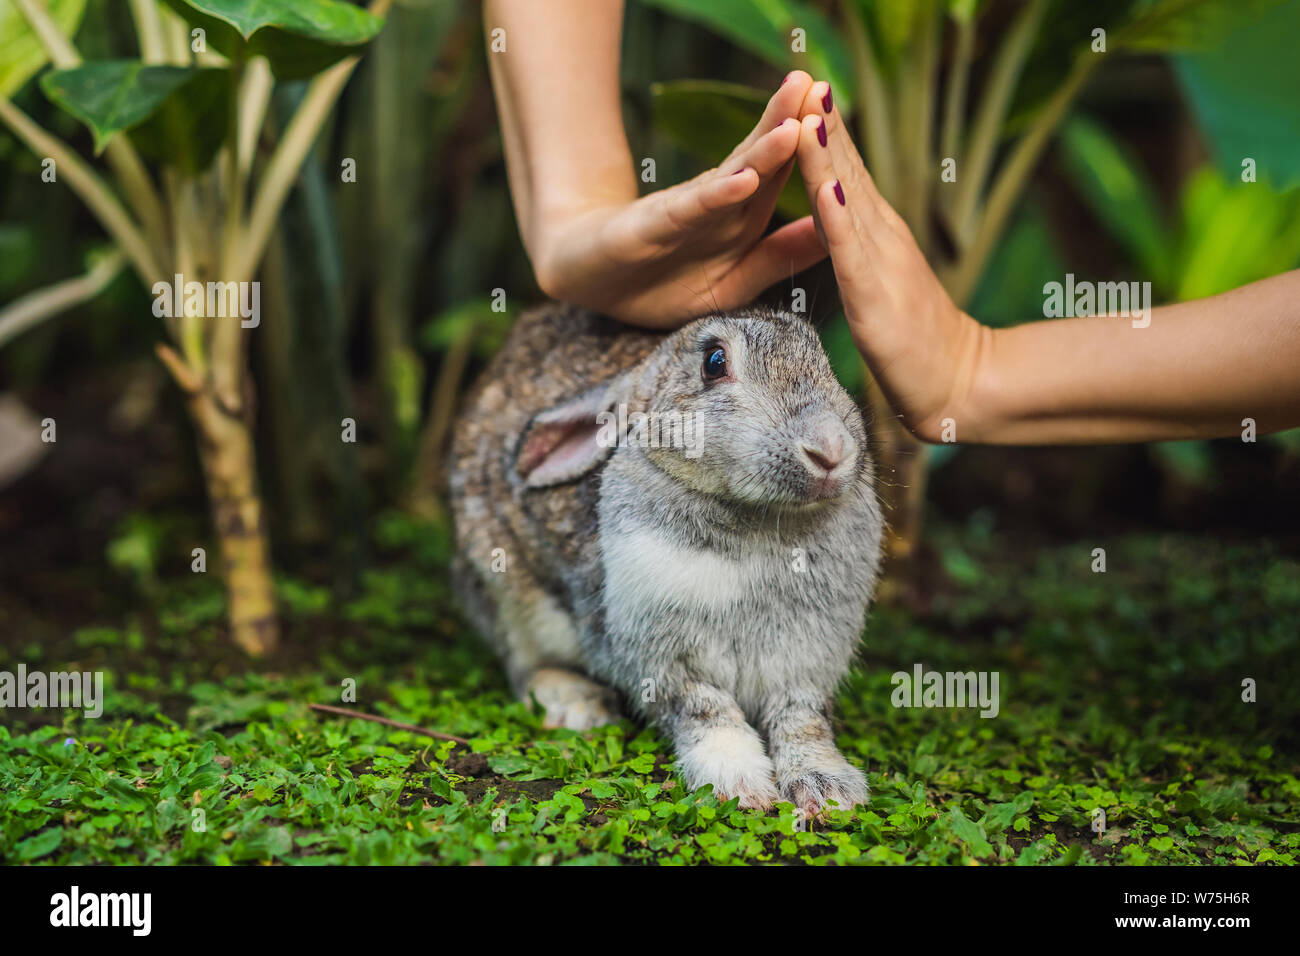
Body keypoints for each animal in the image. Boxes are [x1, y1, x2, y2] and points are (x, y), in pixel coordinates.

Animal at [449, 302, 883, 816]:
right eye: (714, 362)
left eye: (820, 354)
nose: (831, 450)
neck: (761, 520)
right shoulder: (664, 658)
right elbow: (705, 708)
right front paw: (739, 785)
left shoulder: (804, 663)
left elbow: (802, 719)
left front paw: (828, 790)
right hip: (508, 595)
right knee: (522, 661)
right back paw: (576, 704)